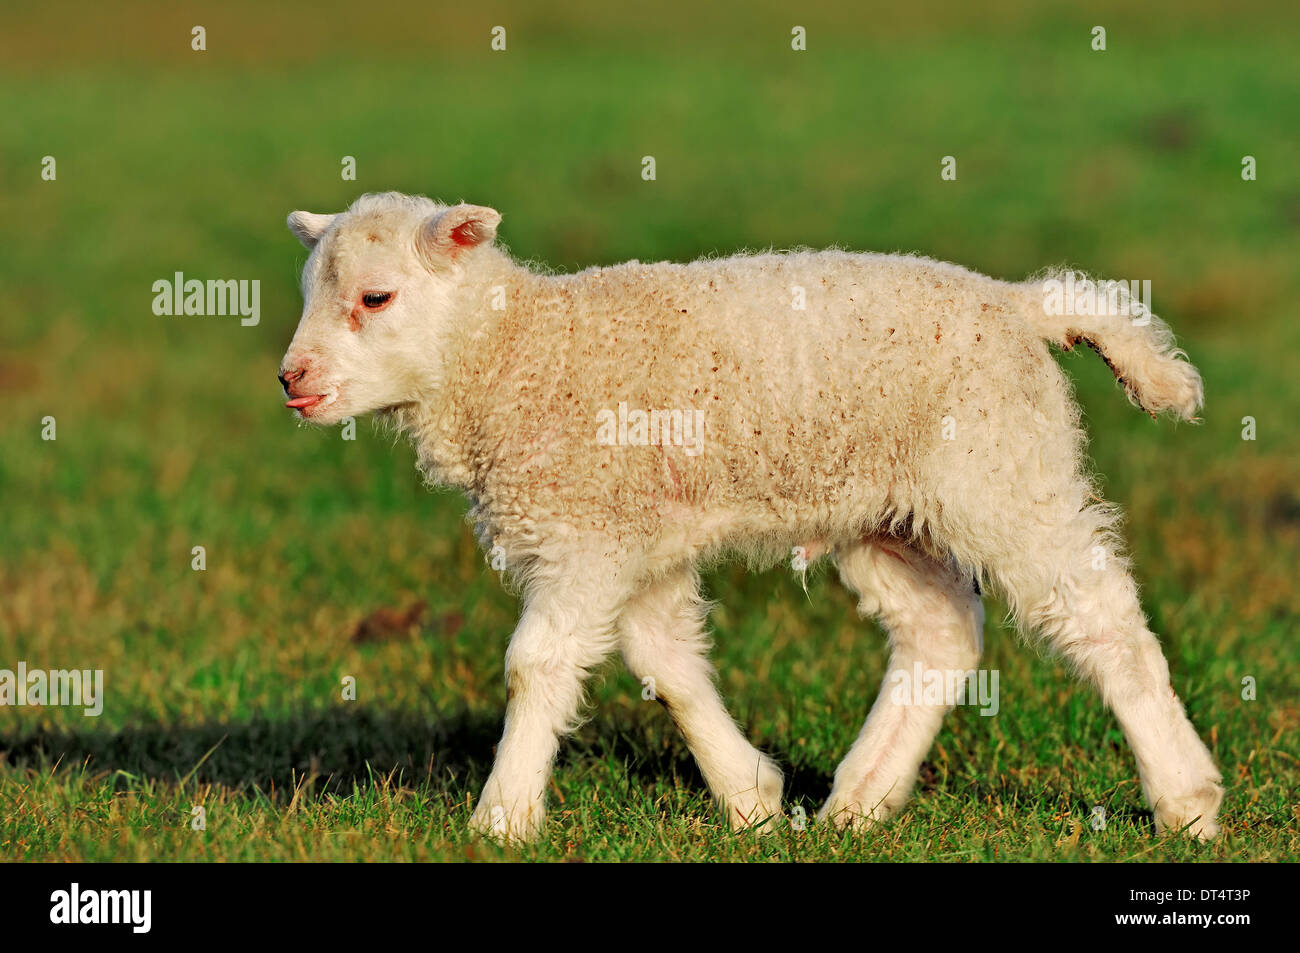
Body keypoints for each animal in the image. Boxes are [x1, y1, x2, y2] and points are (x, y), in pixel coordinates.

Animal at [278, 191, 1223, 844]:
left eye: (375, 299)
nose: (292, 379)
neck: (516, 355)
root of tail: (1021, 305)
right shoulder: (637, 538)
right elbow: (669, 664)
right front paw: (753, 801)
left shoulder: (586, 533)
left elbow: (534, 666)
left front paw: (501, 819)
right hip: (884, 510)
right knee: (941, 629)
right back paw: (858, 802)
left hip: (1004, 475)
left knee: (1104, 622)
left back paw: (1187, 802)